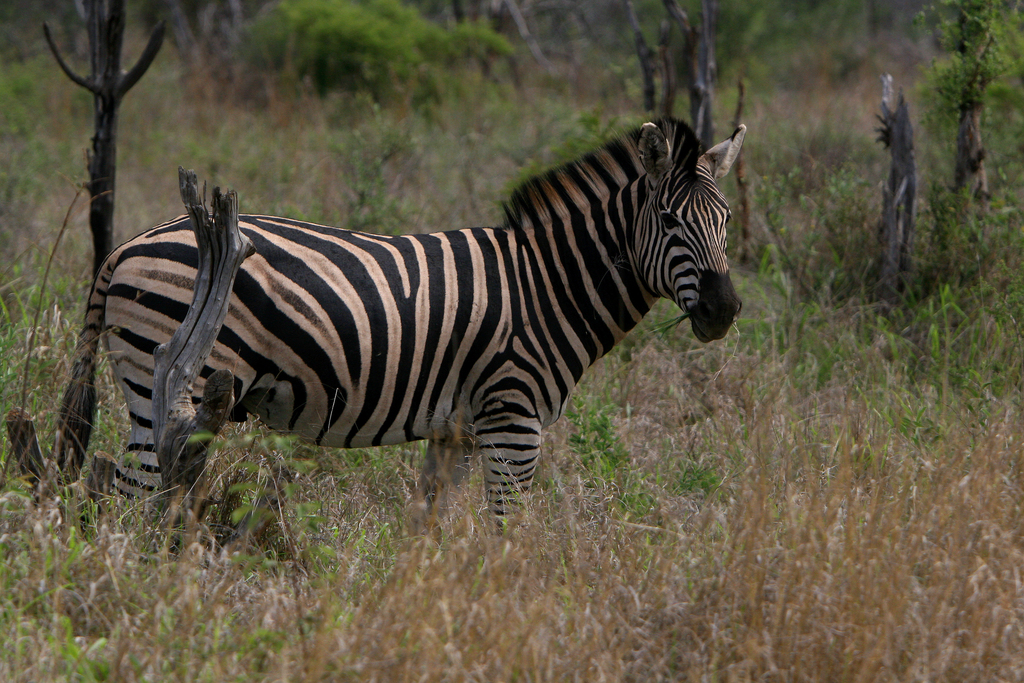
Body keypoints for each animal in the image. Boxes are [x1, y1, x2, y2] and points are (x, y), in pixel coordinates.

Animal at [54, 117, 745, 521]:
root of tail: (125, 245)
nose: (724, 311)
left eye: (729, 220)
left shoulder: (458, 430)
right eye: (669, 222)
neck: (547, 285)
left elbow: (428, 533)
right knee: (131, 494)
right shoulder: (513, 421)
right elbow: (510, 534)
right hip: (167, 386)